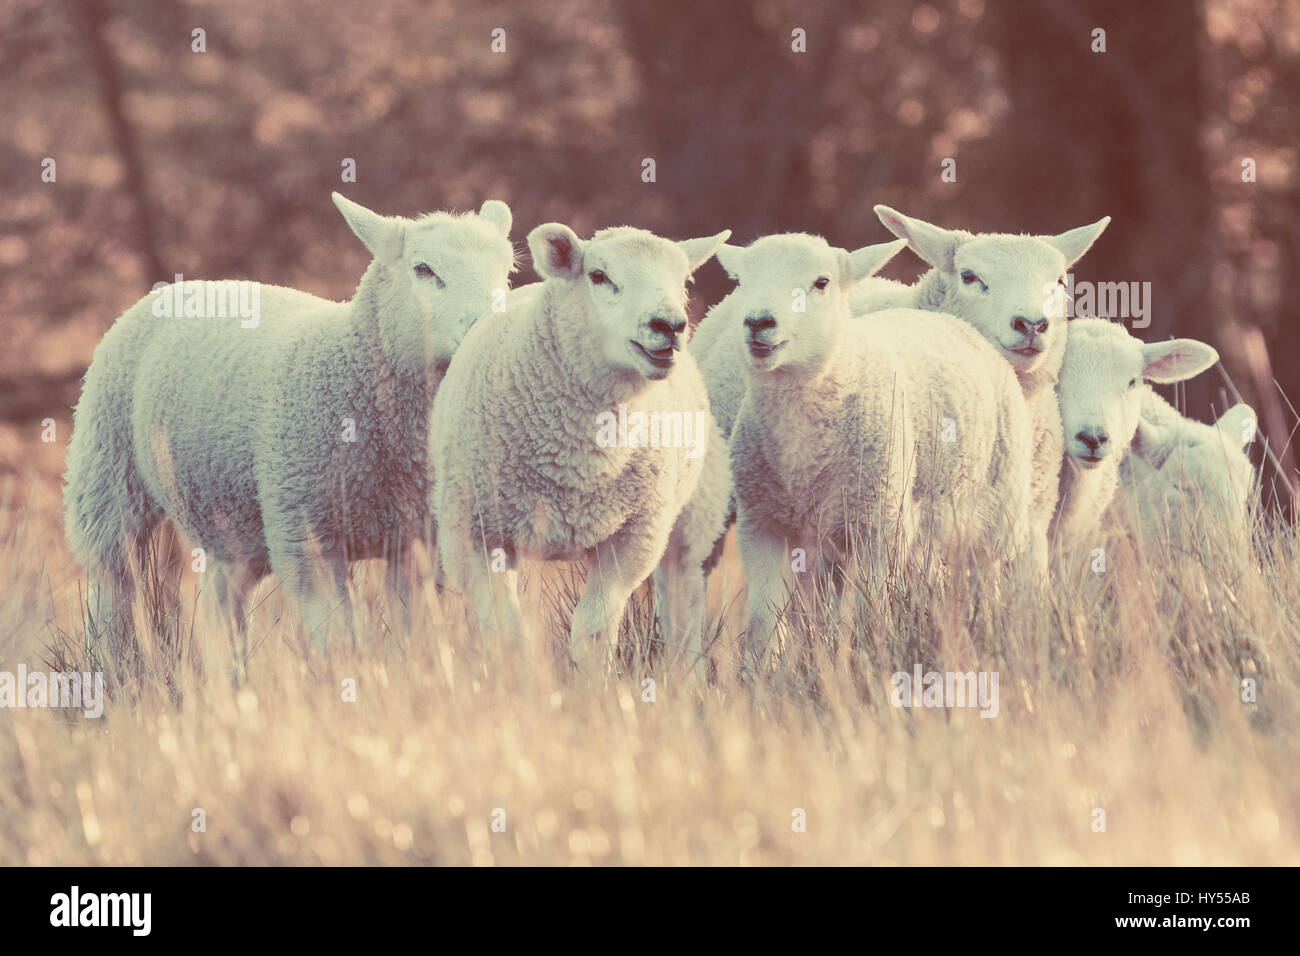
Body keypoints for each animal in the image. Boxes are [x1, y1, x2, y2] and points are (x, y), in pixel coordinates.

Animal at [63, 192, 514, 649]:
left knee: (221, 607)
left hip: (234, 523)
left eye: (508, 270)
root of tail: (184, 286)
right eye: (424, 269)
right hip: (107, 478)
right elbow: (339, 639)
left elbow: (414, 632)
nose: (489, 332)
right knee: (111, 583)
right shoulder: (307, 543)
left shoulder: (420, 541)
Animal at [430, 222, 730, 669]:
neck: (575, 465)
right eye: (599, 276)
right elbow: (507, 631)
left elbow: (593, 631)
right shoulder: (473, 532)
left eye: (683, 281)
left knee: (684, 605)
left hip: (692, 518)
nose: (669, 326)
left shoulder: (634, 536)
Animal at [720, 233, 1038, 662]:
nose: (758, 322)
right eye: (739, 281)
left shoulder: (880, 526)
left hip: (998, 508)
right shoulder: (762, 523)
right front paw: (764, 671)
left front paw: (867, 660)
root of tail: (953, 321)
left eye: (821, 282)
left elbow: (869, 613)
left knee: (988, 577)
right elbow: (761, 623)